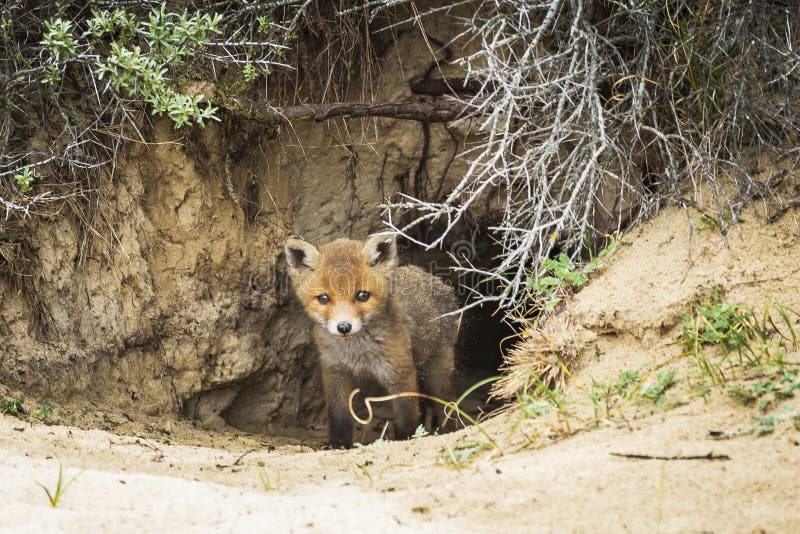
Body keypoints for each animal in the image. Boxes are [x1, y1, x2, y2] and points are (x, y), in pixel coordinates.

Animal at [284, 233, 458, 449]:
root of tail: (434, 279)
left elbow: (407, 417)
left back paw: (448, 430)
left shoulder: (400, 373)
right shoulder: (335, 371)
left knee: (448, 404)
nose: (344, 327)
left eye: (362, 295)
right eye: (324, 298)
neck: (357, 352)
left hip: (436, 372)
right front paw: (339, 443)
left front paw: (404, 439)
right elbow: (338, 415)